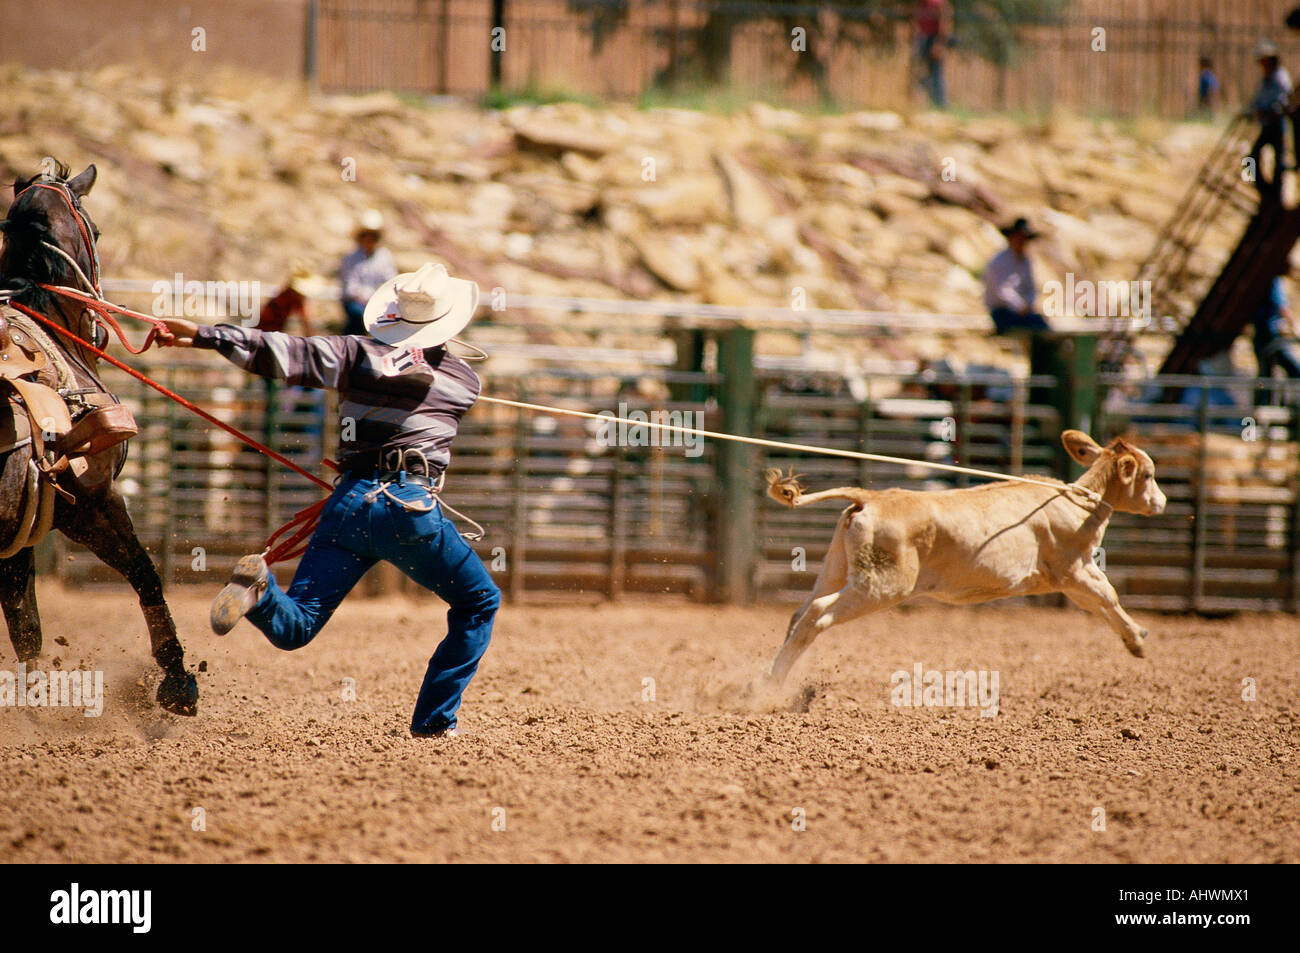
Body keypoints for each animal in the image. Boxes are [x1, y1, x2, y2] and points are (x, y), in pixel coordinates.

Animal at [764, 429, 1166, 682]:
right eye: (1148, 475)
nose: (1161, 502)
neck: (1077, 504)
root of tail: (871, 497)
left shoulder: (1068, 580)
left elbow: (1097, 603)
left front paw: (1135, 636)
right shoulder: (1075, 569)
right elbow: (1107, 596)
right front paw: (1137, 639)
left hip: (837, 568)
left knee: (801, 613)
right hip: (879, 586)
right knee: (817, 613)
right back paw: (772, 683)